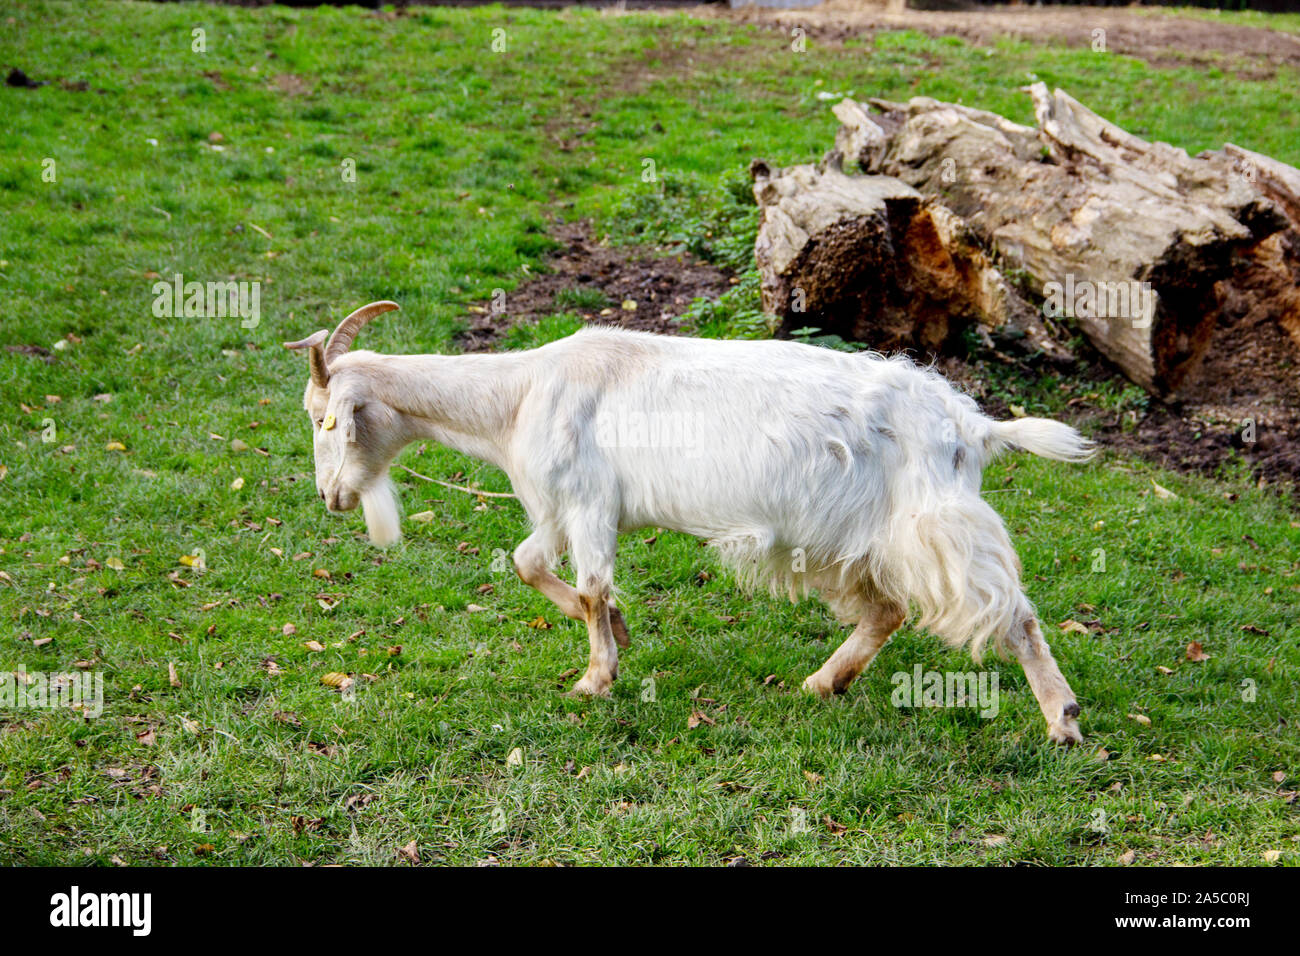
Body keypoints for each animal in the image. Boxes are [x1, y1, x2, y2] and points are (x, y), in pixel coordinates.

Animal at [286, 301, 1094, 743]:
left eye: (325, 419)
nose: (329, 497)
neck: (517, 394)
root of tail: (972, 425)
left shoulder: (588, 503)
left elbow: (587, 588)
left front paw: (594, 681)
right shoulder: (557, 507)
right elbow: (529, 564)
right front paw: (618, 637)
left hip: (933, 527)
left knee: (1011, 611)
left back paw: (1062, 719)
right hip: (850, 544)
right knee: (886, 611)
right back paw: (821, 684)